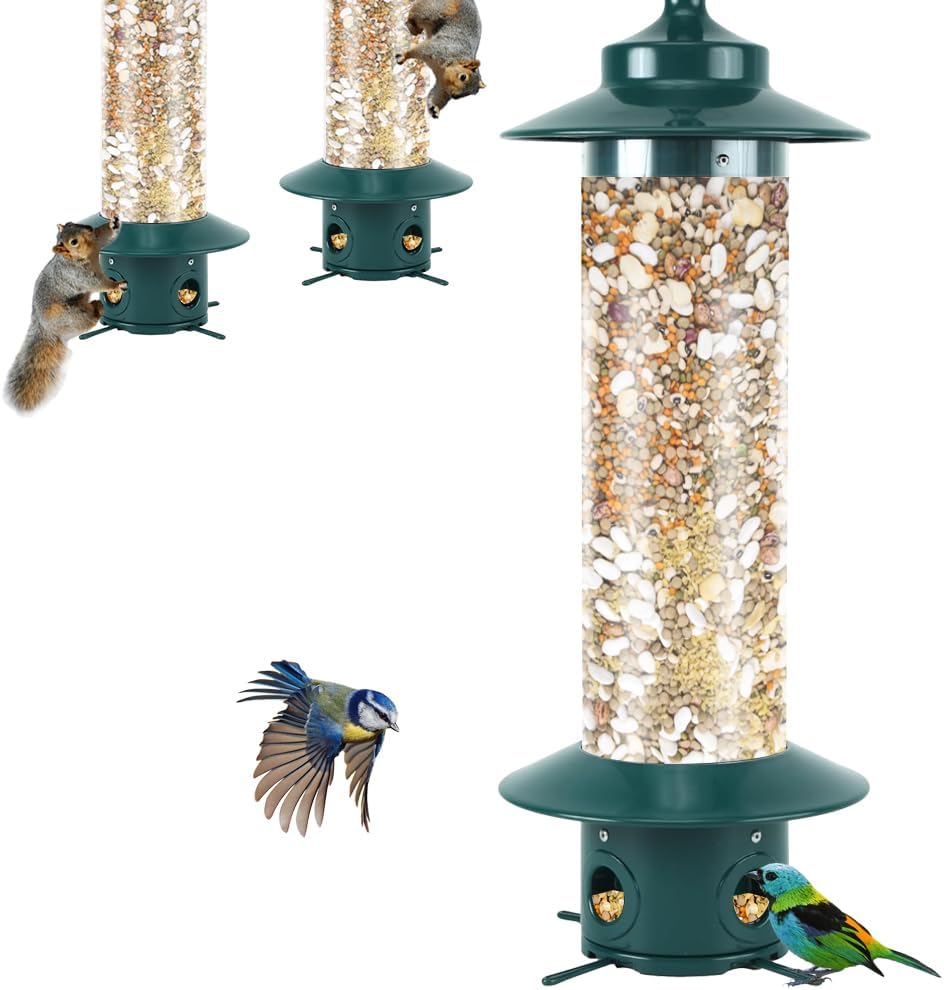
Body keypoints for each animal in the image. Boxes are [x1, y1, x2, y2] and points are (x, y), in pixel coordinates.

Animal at [6, 218, 124, 413]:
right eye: (73, 242)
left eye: (73, 224)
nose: (89, 228)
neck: (84, 255)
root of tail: (44, 327)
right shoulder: (80, 277)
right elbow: (99, 284)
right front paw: (117, 285)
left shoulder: (97, 241)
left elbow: (105, 235)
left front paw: (113, 223)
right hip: (70, 315)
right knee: (87, 321)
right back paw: (97, 309)